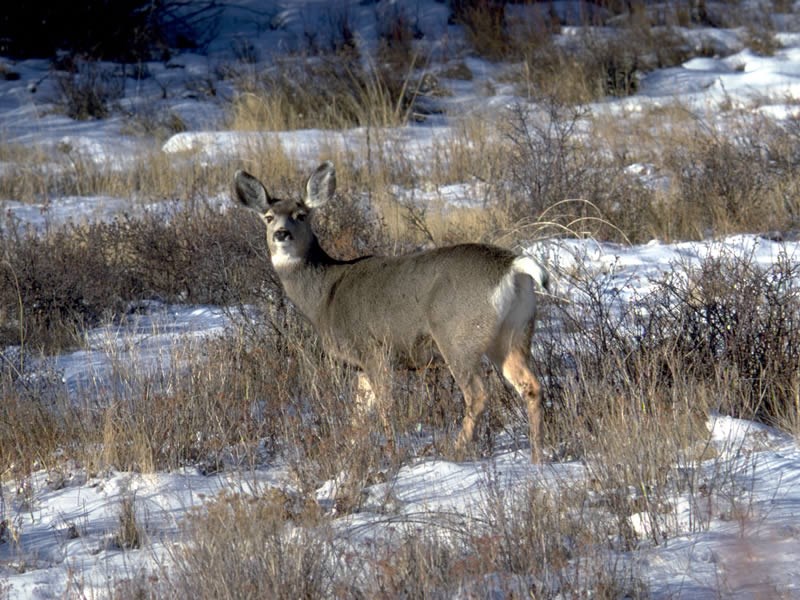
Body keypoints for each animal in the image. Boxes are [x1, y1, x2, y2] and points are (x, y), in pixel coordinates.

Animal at [233, 162, 549, 462]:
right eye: (268, 216)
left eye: (301, 215)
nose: (281, 234)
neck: (325, 296)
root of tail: (513, 267)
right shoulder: (360, 367)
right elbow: (358, 415)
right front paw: (353, 452)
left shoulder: (374, 350)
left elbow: (386, 406)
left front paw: (390, 451)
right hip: (514, 332)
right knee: (530, 386)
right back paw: (536, 458)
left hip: (457, 335)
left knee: (478, 394)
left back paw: (456, 450)